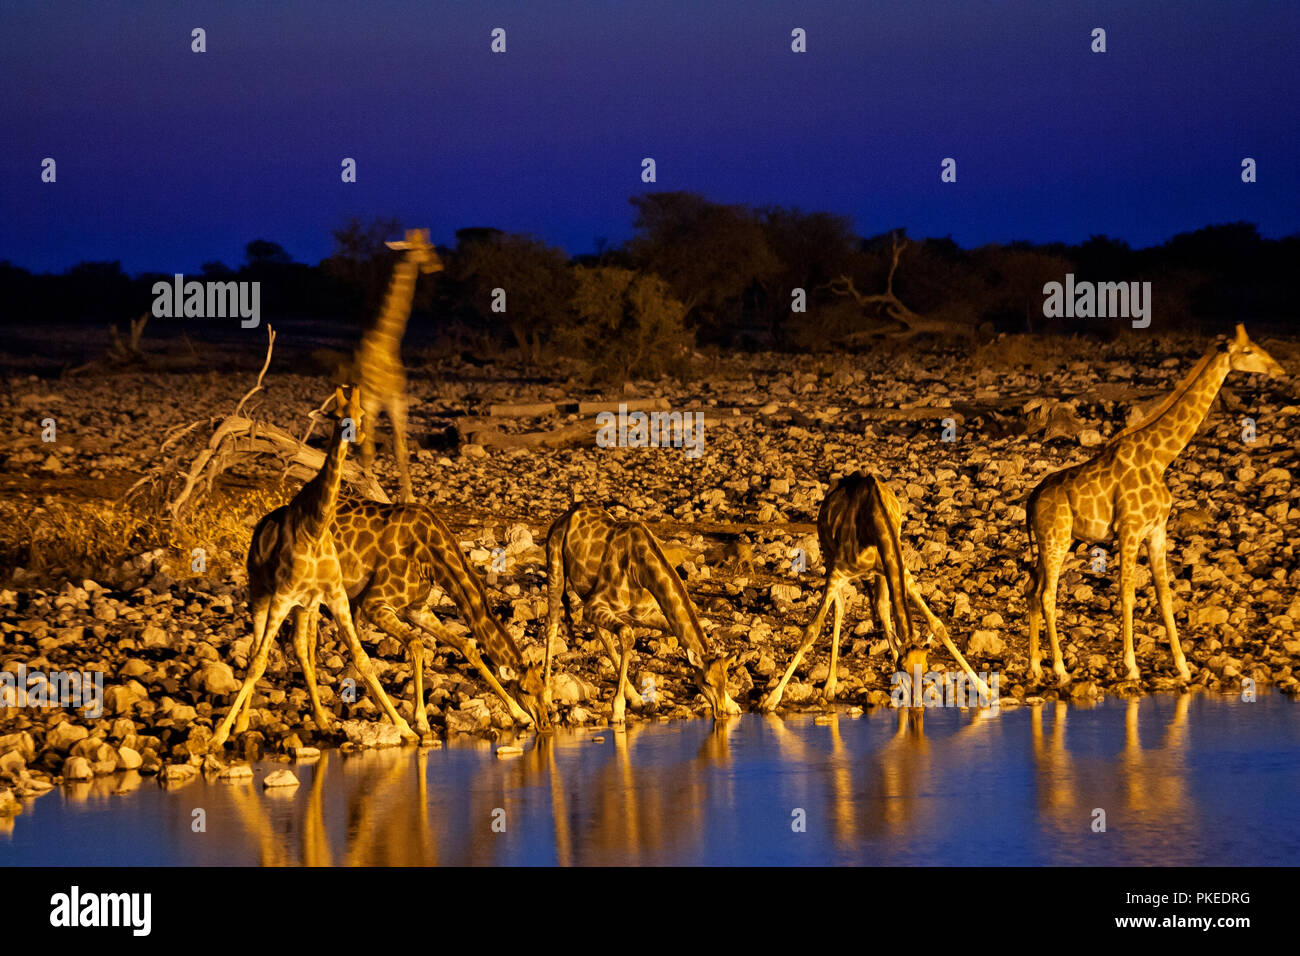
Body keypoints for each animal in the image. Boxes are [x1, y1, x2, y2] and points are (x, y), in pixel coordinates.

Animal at [210, 385, 418, 749]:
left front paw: (406, 728)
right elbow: (258, 662)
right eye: (337, 416)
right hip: (260, 593)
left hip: (304, 606)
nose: (357, 434)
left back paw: (321, 720)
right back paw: (242, 724)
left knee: (301, 648)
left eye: (361, 414)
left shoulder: (334, 596)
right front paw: (219, 734)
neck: (316, 529)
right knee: (255, 649)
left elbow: (362, 659)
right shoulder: (282, 596)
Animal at [355, 228, 443, 502]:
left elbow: (395, 449)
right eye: (427, 248)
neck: (387, 342)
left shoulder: (391, 402)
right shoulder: (383, 401)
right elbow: (381, 450)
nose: (438, 265)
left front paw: (405, 496)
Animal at [545, 503, 742, 723]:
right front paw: (618, 710)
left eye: (726, 679)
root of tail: (563, 518)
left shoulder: (642, 613)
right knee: (552, 626)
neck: (642, 571)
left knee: (601, 633)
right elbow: (626, 636)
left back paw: (636, 698)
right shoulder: (595, 605)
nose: (721, 712)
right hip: (555, 566)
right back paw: (546, 699)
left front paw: (733, 705)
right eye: (707, 682)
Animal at [760, 471, 991, 712]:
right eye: (904, 666)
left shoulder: (899, 569)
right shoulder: (838, 572)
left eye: (927, 669)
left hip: (880, 574)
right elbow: (812, 630)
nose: (917, 705)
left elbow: (937, 624)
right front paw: (771, 698)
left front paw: (986, 690)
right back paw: (830, 686)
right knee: (840, 607)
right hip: (829, 556)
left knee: (881, 610)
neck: (873, 523)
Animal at [1025, 324, 1284, 684]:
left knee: (1032, 590)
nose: (1280, 369)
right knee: (1048, 595)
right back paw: (1061, 671)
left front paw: (1183, 667)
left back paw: (1035, 667)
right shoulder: (1130, 529)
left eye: (1257, 346)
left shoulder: (1157, 530)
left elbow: (1164, 593)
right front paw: (1131, 667)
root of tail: (1031, 499)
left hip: (1050, 541)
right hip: (1057, 539)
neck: (1161, 457)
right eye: (1247, 351)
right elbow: (1127, 592)